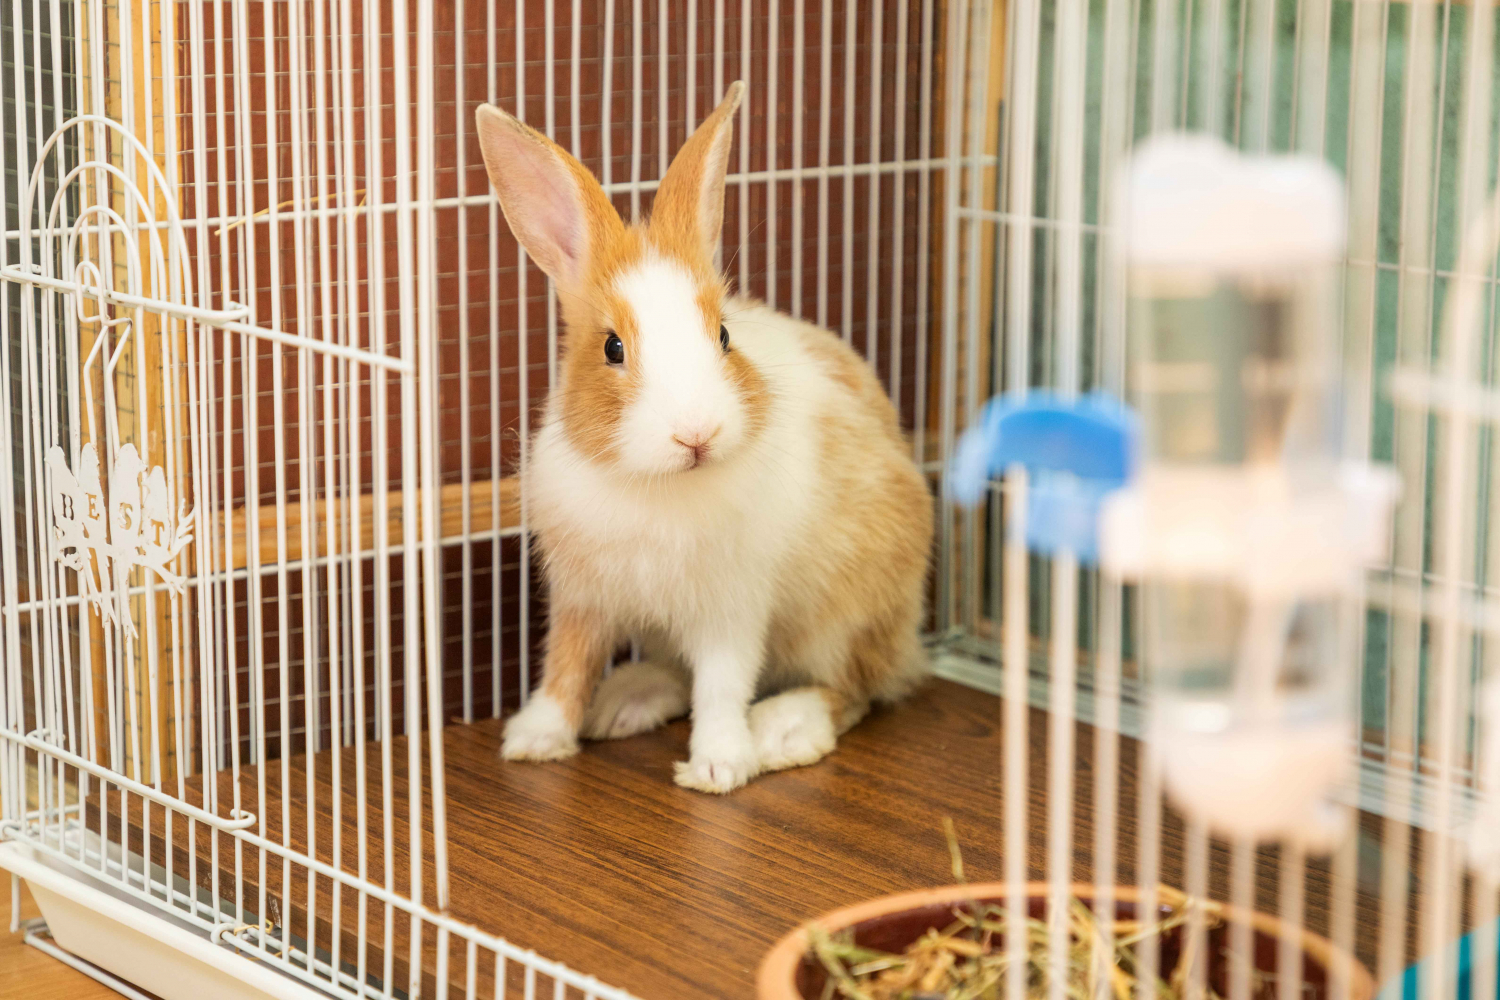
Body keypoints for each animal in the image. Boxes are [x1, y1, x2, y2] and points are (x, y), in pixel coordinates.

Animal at [474, 81, 933, 793]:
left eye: (723, 335)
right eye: (612, 348)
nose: (697, 433)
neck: (655, 483)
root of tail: (909, 637)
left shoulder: (731, 608)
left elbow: (722, 685)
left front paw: (719, 766)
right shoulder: (584, 599)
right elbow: (567, 665)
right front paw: (535, 741)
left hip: (848, 615)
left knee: (853, 689)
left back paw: (782, 728)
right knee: (675, 672)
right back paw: (623, 702)